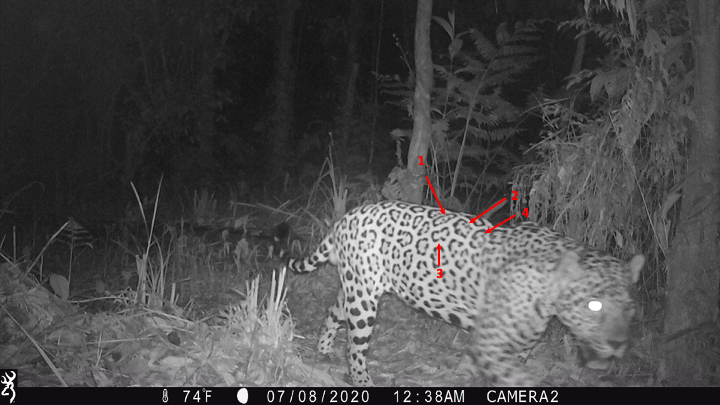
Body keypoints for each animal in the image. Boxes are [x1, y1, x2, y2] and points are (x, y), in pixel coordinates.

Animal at [287, 200, 644, 386]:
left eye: (629, 309)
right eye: (594, 306)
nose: (618, 344)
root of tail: (347, 216)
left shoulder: (514, 347)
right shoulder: (491, 343)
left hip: (359, 287)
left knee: (334, 311)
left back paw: (323, 348)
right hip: (363, 300)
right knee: (356, 348)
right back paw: (361, 379)